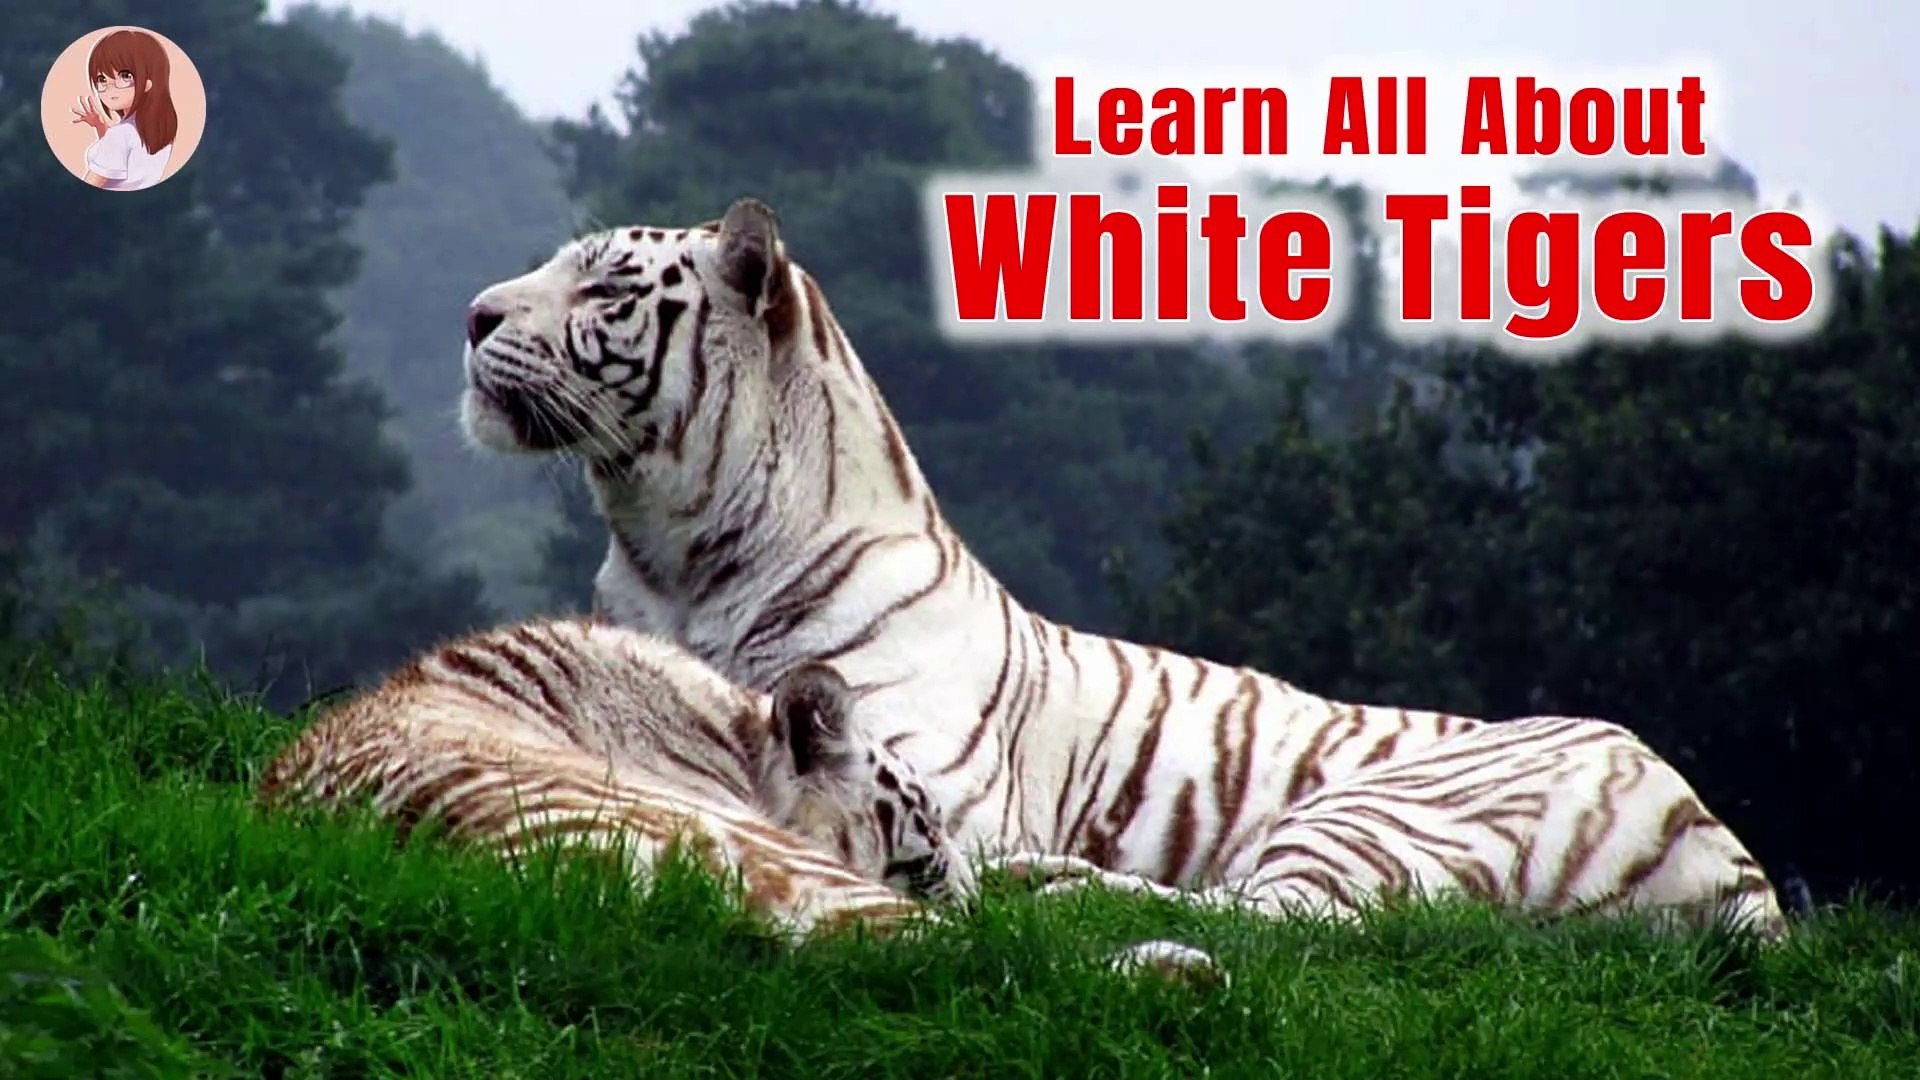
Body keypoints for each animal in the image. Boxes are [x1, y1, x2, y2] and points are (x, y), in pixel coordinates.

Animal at [454, 197, 1785, 940]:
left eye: (606, 284)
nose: (471, 315)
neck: (671, 550)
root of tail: (1735, 860)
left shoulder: (920, 772)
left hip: (1387, 809)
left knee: (1282, 921)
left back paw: (1057, 890)